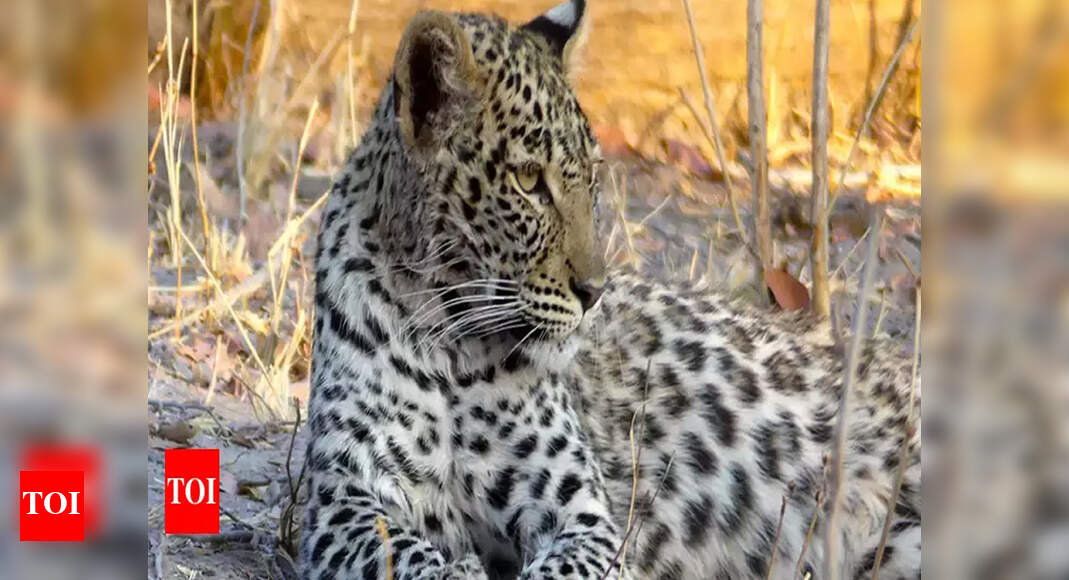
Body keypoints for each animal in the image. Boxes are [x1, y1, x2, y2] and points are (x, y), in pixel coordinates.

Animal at [299, 2, 921, 579]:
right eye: (528, 182)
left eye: (593, 178)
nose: (595, 291)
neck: (449, 347)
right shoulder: (342, 500)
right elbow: (403, 554)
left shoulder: (585, 517)